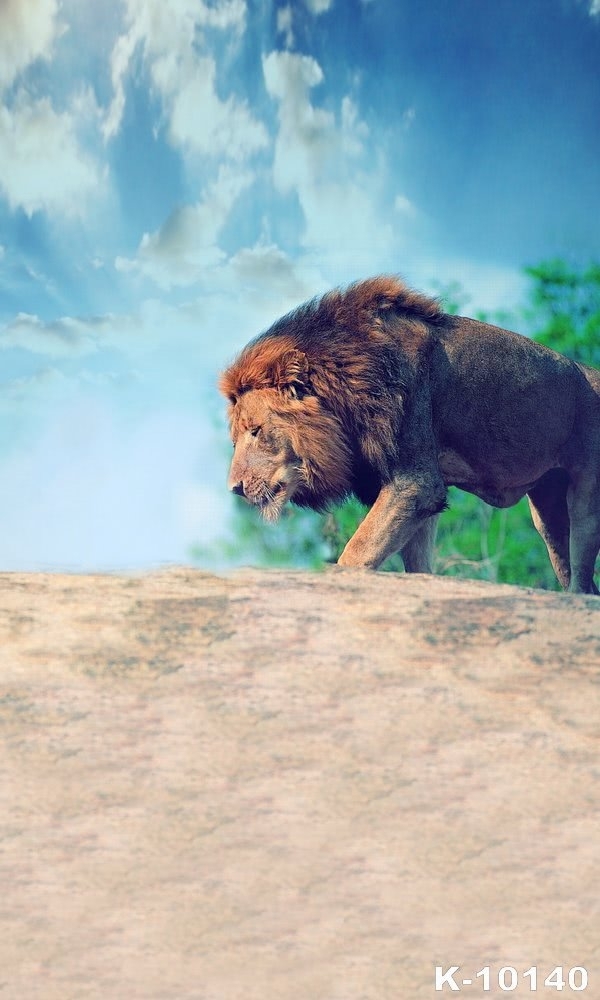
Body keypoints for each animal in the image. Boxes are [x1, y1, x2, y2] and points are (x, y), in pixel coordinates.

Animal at [220, 276, 600, 594]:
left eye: (256, 431)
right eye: (236, 439)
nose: (235, 489)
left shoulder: (416, 482)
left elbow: (356, 551)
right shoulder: (419, 492)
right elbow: (418, 565)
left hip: (586, 496)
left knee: (582, 575)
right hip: (548, 511)